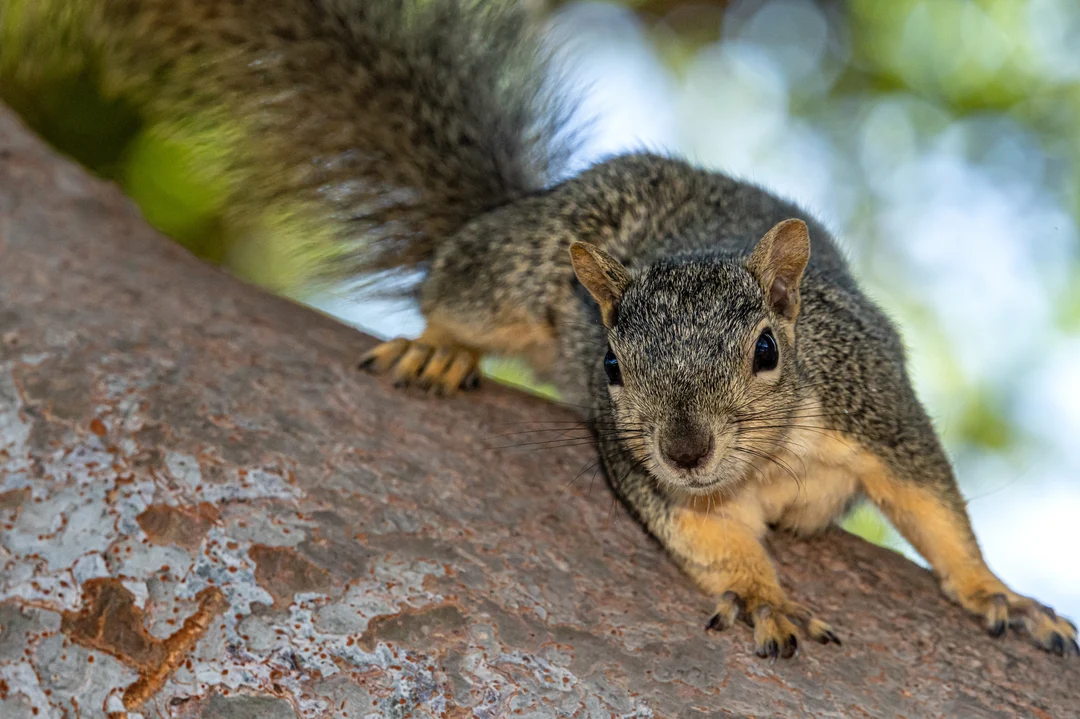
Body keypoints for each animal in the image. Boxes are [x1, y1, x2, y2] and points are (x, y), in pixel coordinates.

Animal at [10, 0, 1076, 660]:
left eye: (767, 352)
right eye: (611, 364)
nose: (685, 447)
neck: (764, 460)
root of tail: (550, 194)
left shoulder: (872, 402)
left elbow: (934, 505)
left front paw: (998, 593)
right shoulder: (642, 469)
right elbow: (707, 534)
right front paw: (764, 594)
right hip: (509, 273)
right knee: (456, 286)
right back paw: (438, 346)